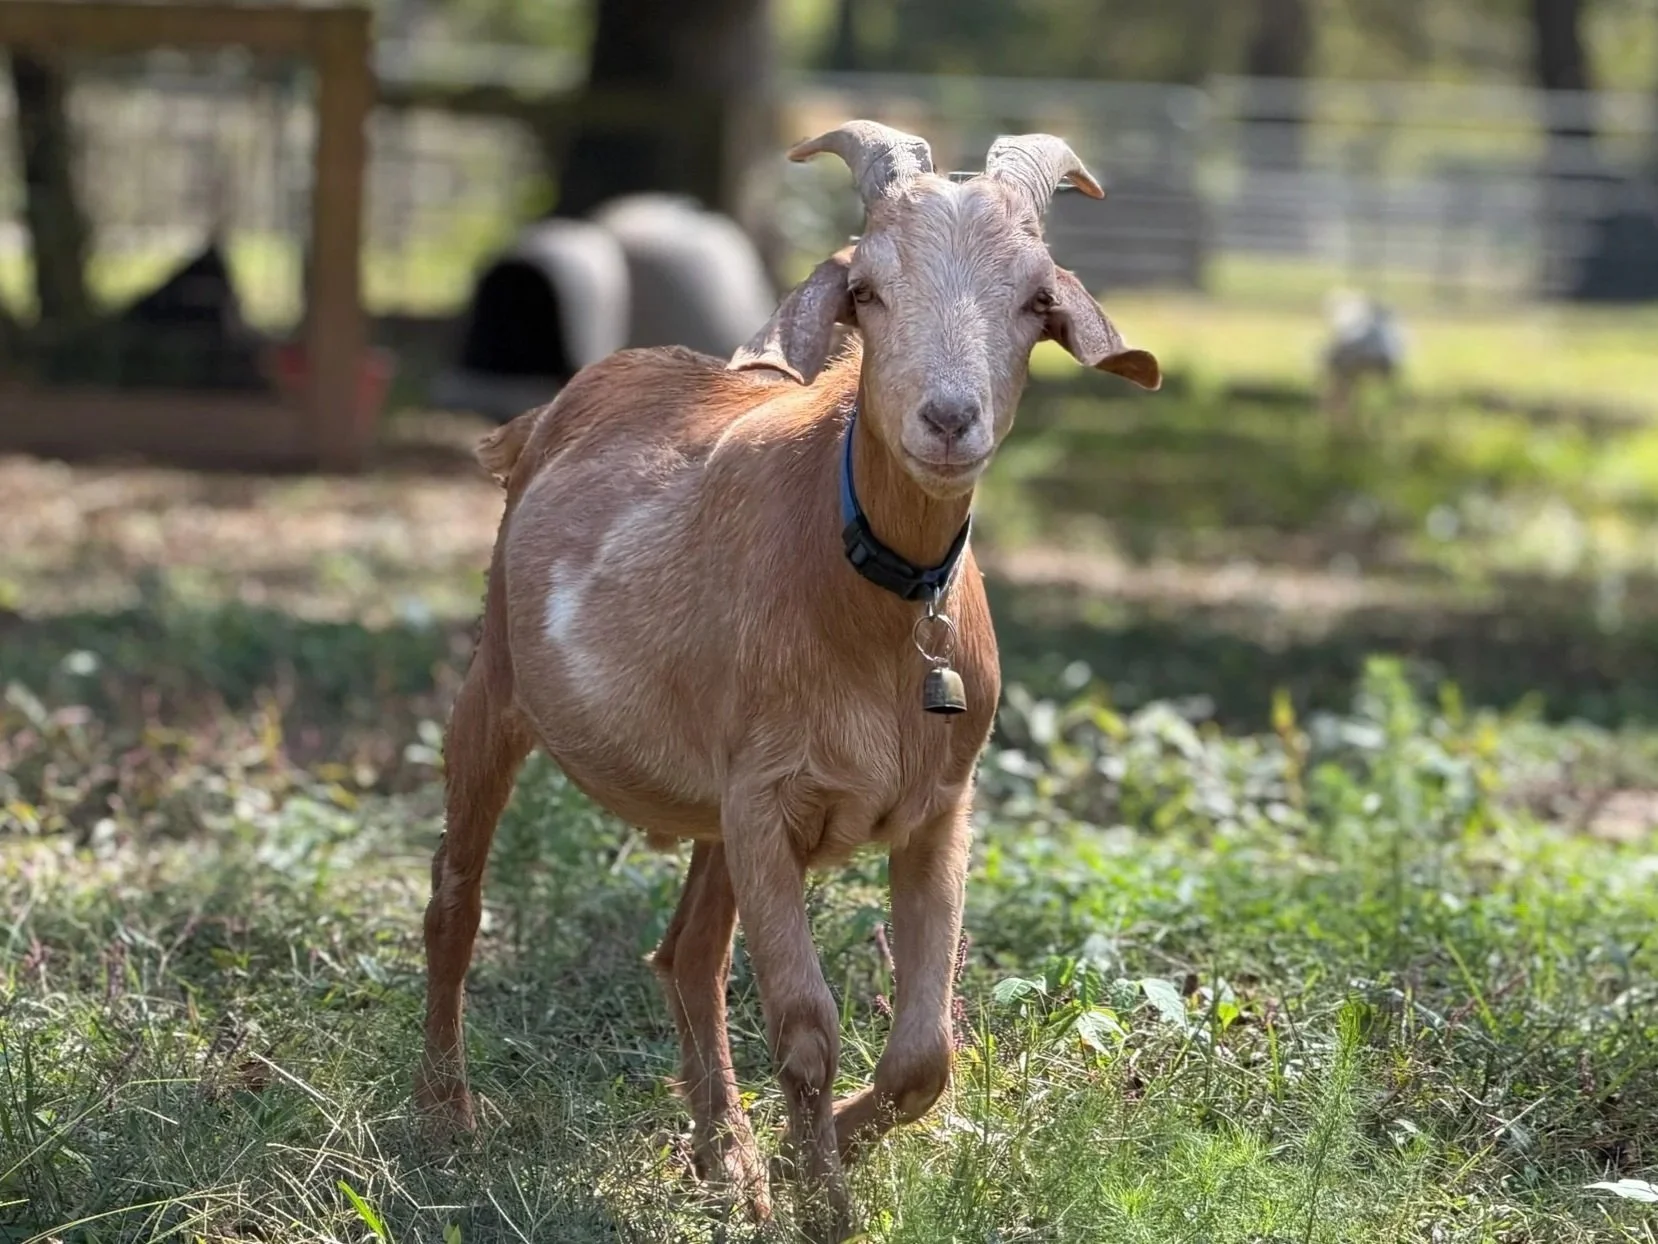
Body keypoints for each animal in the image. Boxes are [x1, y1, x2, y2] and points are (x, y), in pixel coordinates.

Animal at [414, 120, 1161, 1241]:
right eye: (867, 290)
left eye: (1036, 300)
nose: (948, 417)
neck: (877, 611)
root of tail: (553, 408)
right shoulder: (766, 802)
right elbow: (807, 1026)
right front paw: (824, 1205)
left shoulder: (936, 808)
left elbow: (924, 1054)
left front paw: (821, 1150)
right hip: (494, 686)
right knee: (454, 906)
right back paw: (447, 1117)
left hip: (718, 800)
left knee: (685, 951)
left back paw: (725, 1157)